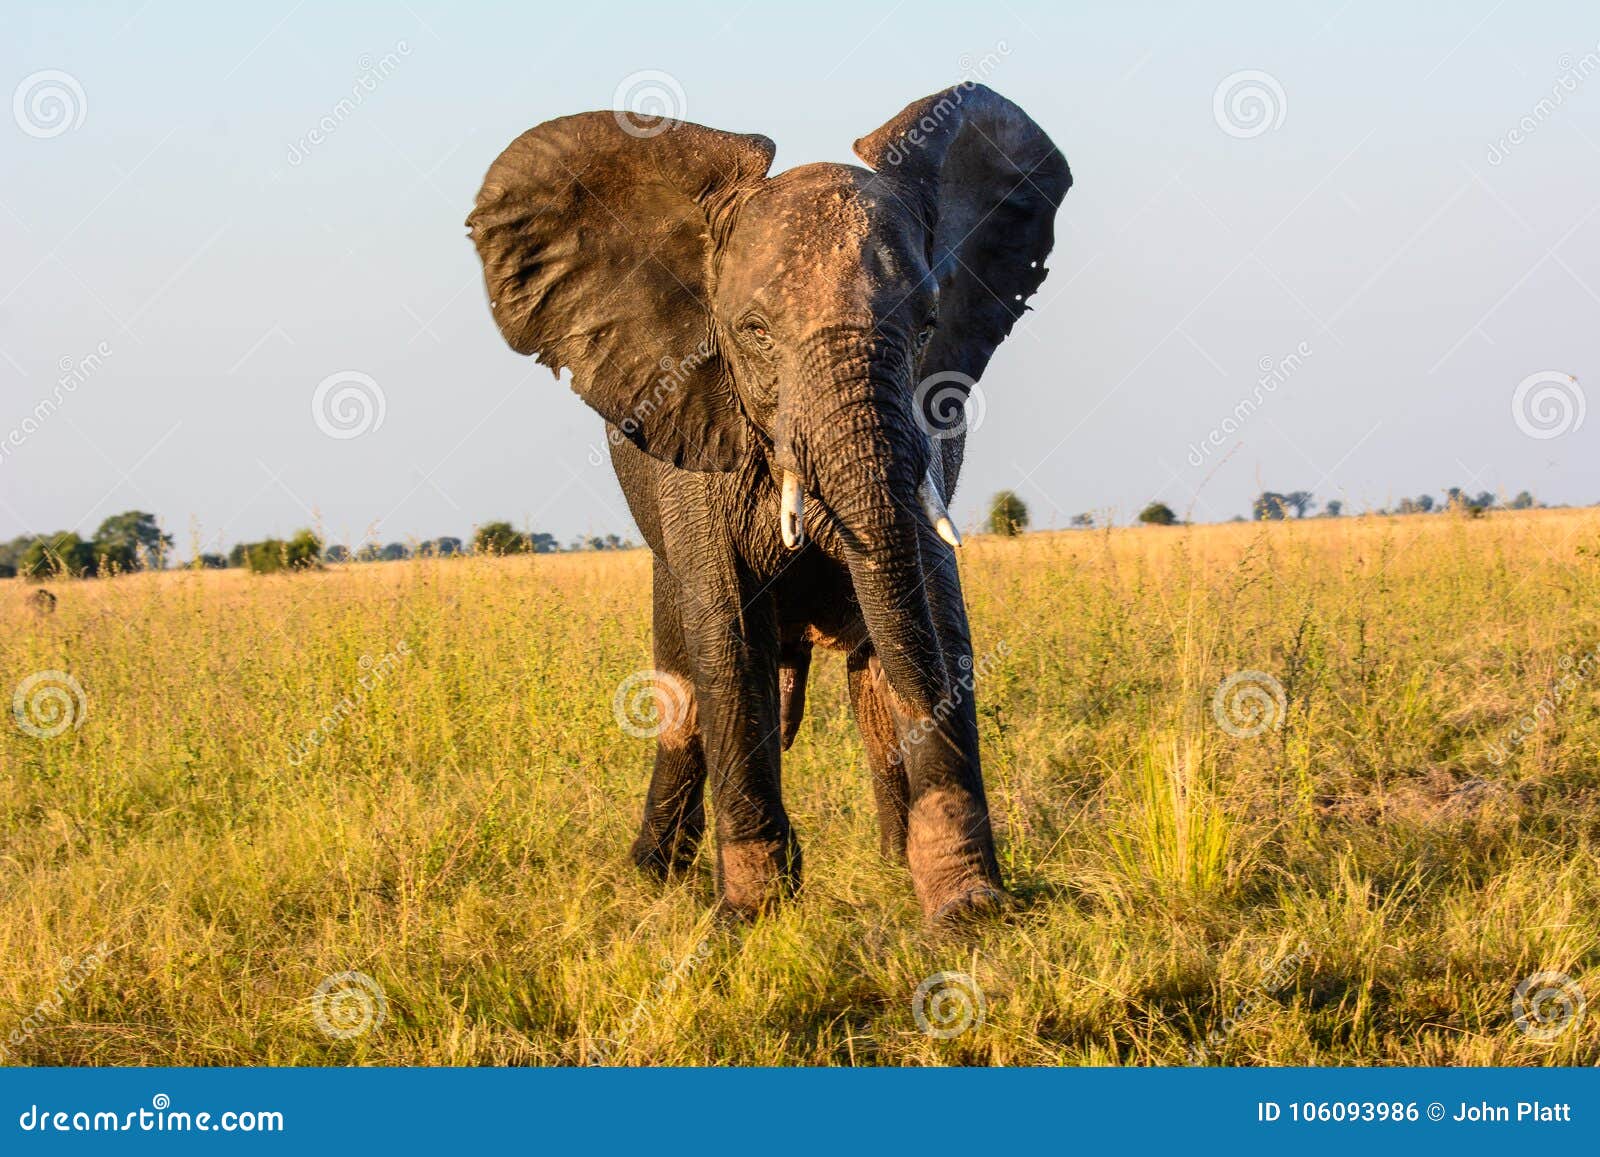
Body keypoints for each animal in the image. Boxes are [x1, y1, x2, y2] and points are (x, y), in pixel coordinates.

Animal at [467, 83, 1070, 924]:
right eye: (752, 330)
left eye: (926, 324)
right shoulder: (695, 436)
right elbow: (728, 637)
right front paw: (747, 917)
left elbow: (932, 610)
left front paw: (965, 908)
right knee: (684, 694)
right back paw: (655, 873)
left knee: (872, 687)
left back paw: (888, 863)